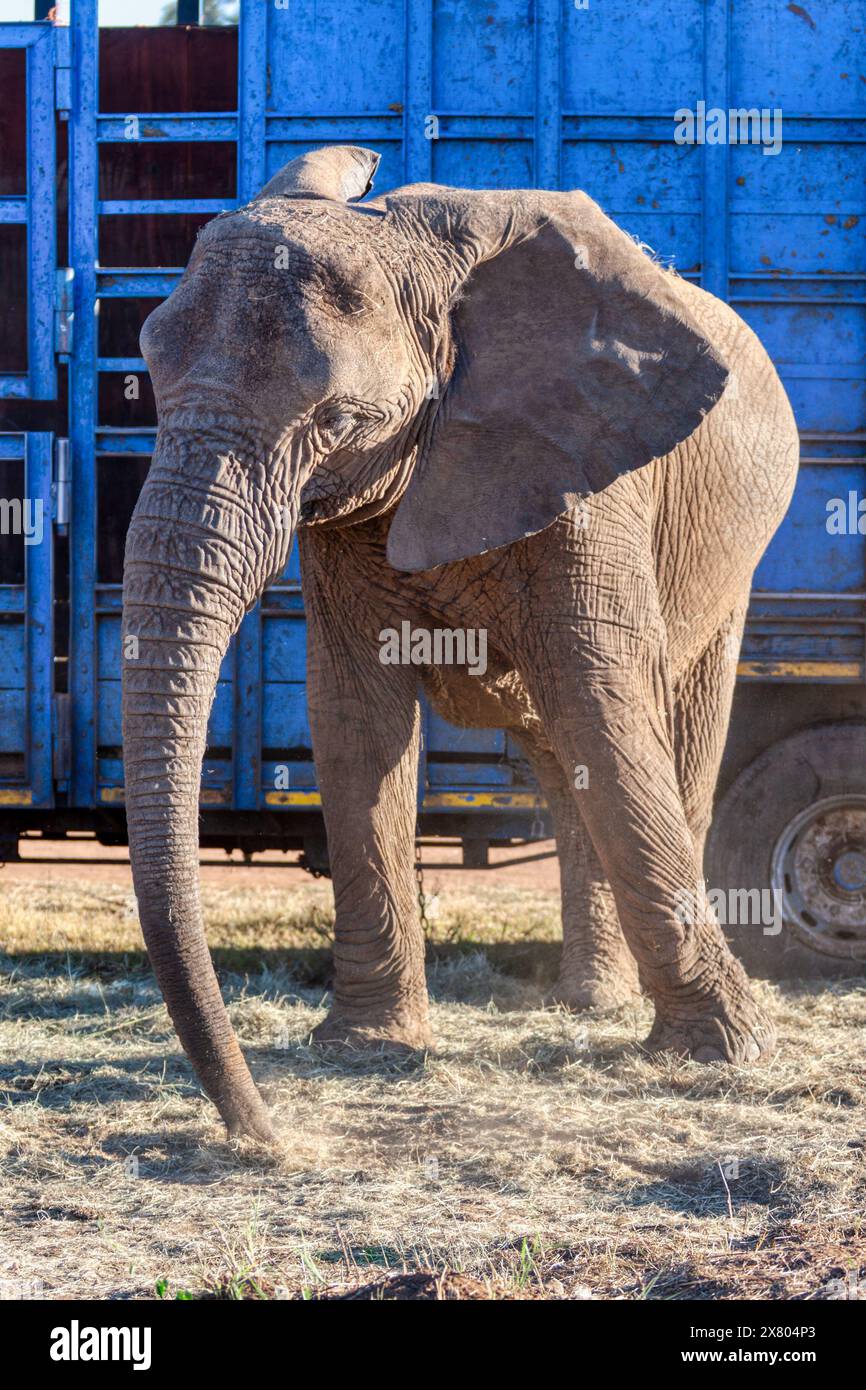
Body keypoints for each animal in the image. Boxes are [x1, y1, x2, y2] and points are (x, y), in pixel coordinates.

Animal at [122, 145, 799, 1142]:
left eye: (337, 422)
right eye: (150, 385)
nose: (268, 1133)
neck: (409, 250)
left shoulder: (589, 462)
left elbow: (603, 702)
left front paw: (725, 1052)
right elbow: (354, 717)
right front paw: (367, 1050)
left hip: (729, 560)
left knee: (668, 733)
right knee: (561, 753)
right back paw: (589, 1002)